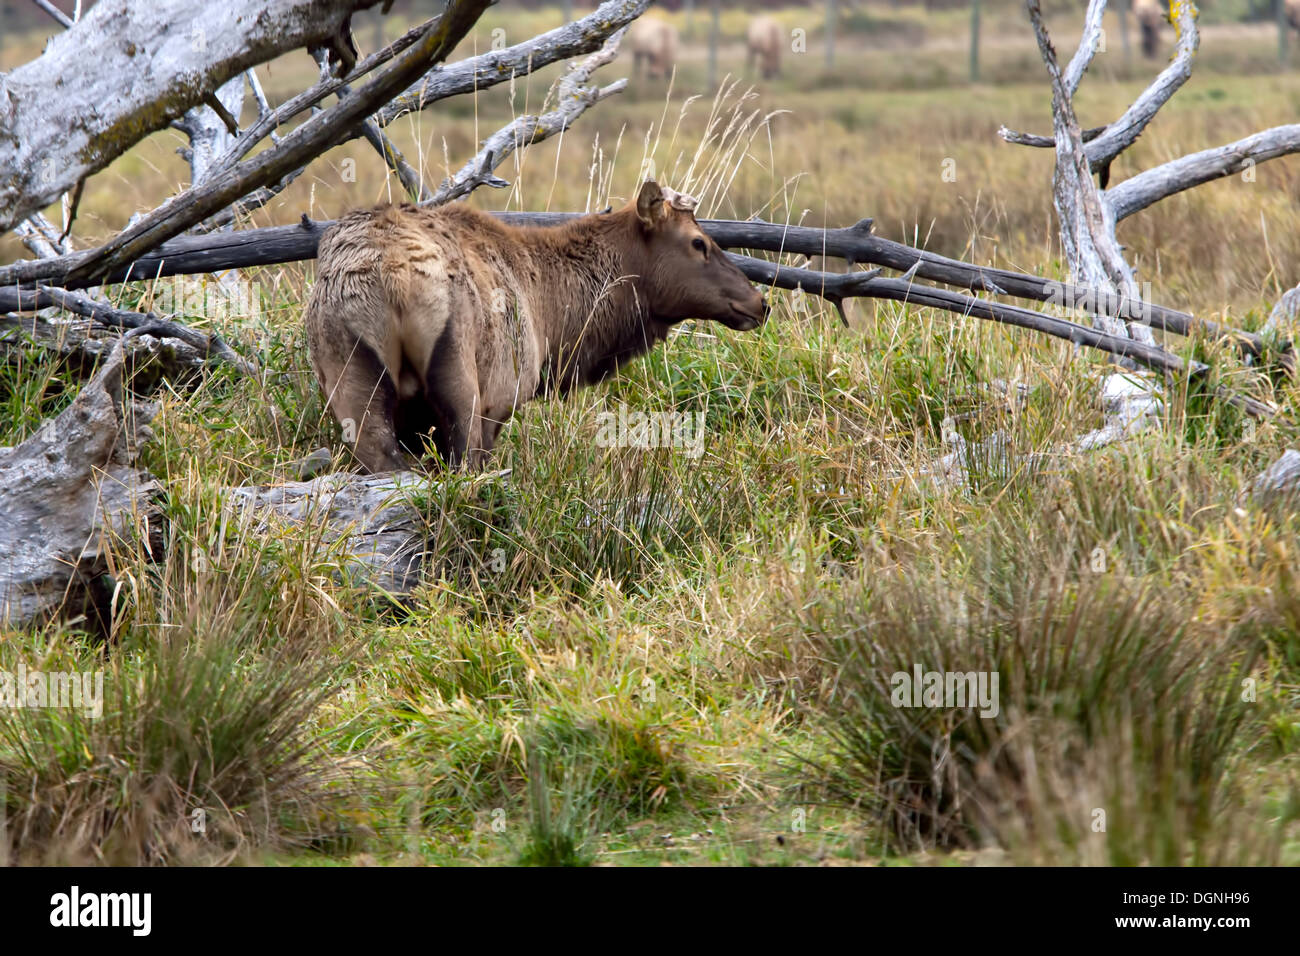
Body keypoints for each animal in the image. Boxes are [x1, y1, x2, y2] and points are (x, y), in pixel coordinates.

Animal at [303, 181, 769, 474]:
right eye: (698, 242)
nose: (759, 303)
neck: (553, 319)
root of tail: (393, 275)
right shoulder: (502, 399)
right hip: (460, 379)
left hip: (349, 376)